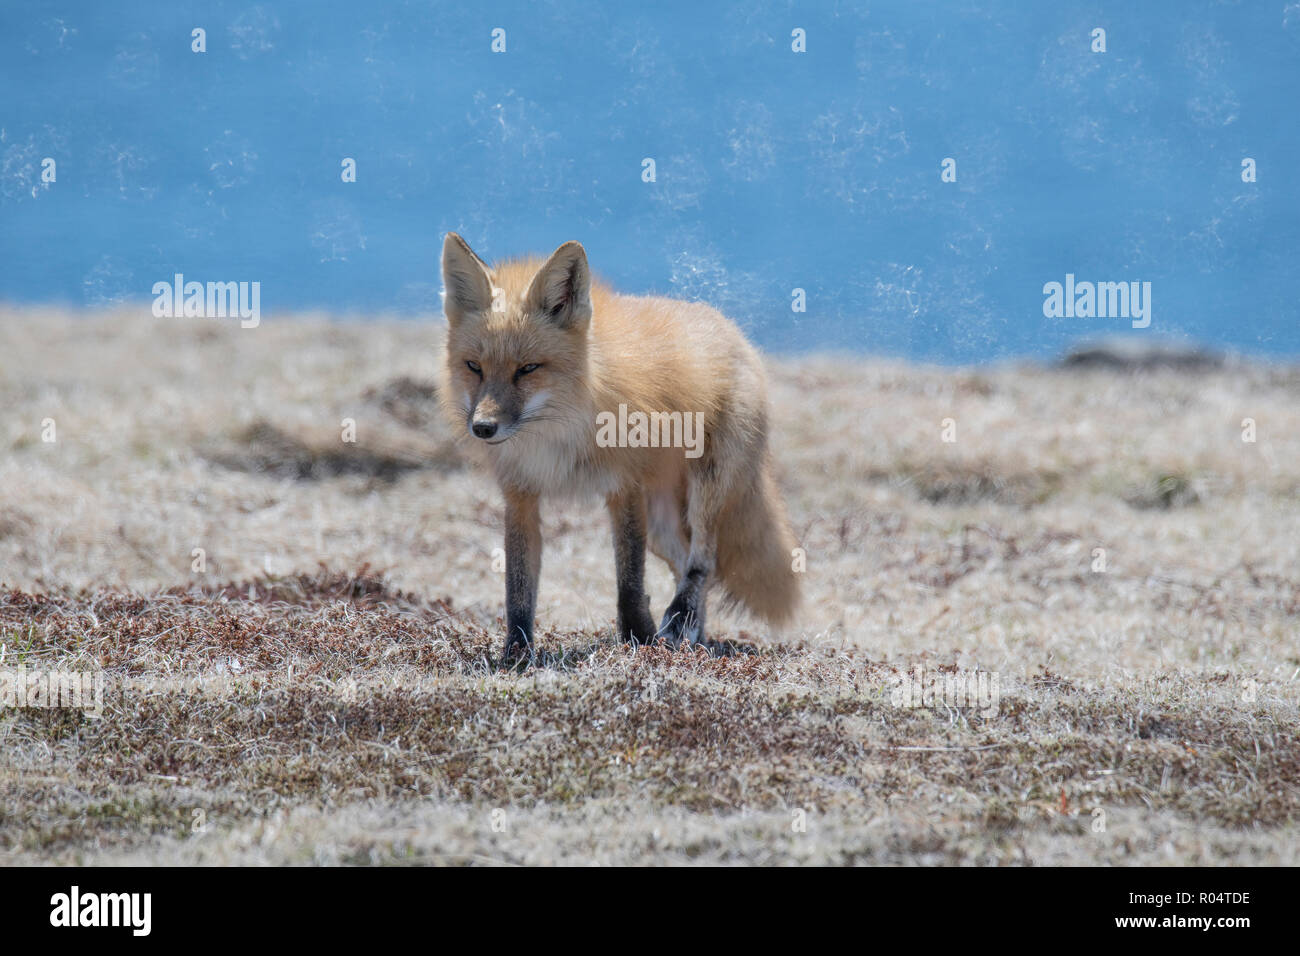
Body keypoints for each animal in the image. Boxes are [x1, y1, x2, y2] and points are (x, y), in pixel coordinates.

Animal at [439, 232, 800, 659]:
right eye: (473, 367)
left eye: (527, 369)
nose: (483, 427)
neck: (560, 430)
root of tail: (730, 327)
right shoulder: (521, 495)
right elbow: (519, 589)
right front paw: (516, 656)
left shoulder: (624, 486)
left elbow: (629, 581)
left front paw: (638, 641)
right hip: (660, 524)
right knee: (687, 563)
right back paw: (693, 636)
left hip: (705, 489)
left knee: (704, 560)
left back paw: (678, 623)